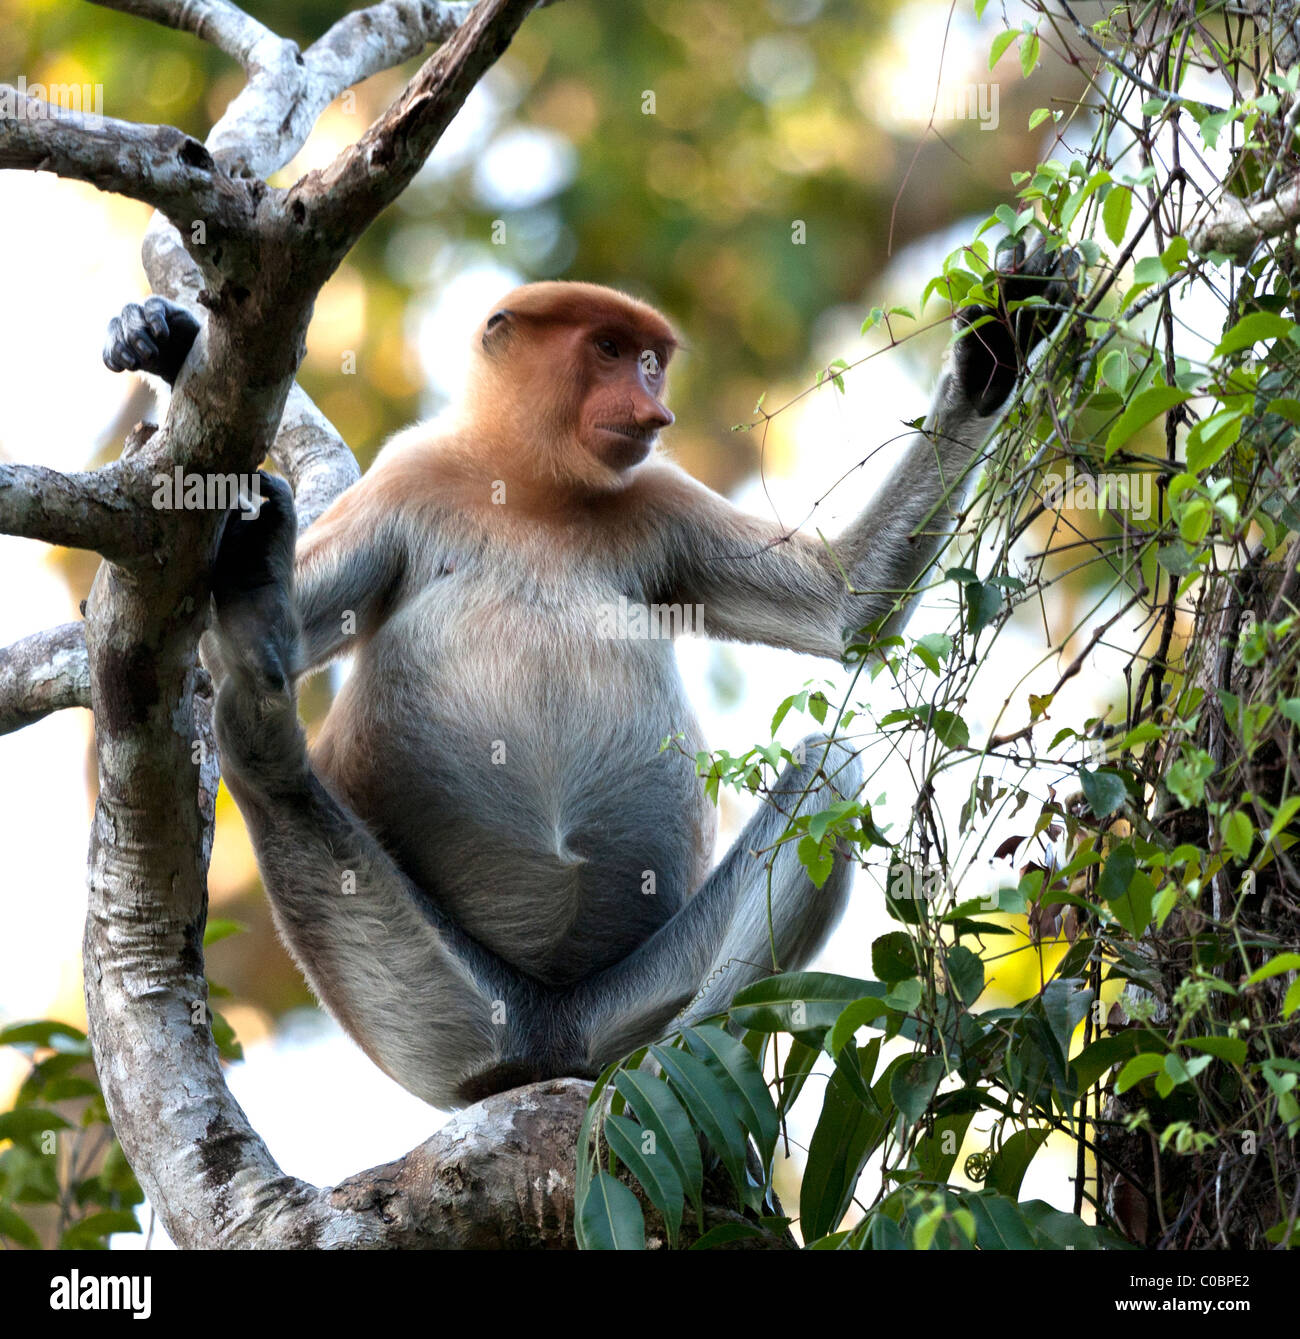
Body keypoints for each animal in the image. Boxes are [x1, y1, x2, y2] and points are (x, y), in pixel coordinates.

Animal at [103, 240, 1073, 1109]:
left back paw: (690, 1053)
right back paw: (257, 625)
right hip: (440, 1014)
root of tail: (550, 1037)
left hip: (625, 1001)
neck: (533, 488)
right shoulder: (411, 479)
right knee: (253, 739)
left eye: (648, 359)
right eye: (606, 348)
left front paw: (998, 348)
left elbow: (850, 605)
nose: (650, 403)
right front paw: (164, 344)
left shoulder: (656, 498)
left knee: (826, 773)